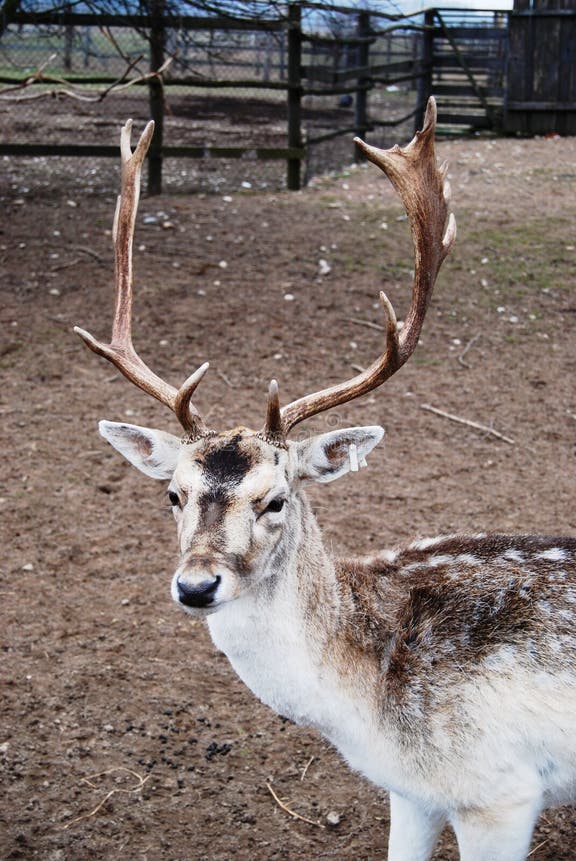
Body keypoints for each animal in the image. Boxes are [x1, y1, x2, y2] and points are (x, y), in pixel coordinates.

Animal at [74, 99, 576, 861]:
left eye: (276, 498)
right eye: (173, 494)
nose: (196, 586)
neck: (366, 710)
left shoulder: (500, 793)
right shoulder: (412, 791)